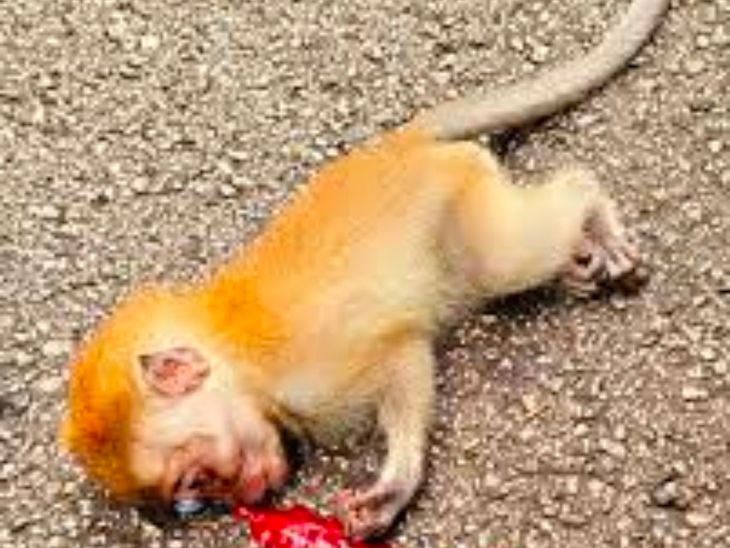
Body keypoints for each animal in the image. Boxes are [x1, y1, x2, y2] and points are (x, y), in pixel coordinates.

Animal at [59, 0, 668, 540]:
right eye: (194, 501)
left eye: (196, 479)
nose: (245, 498)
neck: (242, 360)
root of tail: (401, 145)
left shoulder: (316, 371)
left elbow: (402, 354)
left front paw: (397, 481)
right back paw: (577, 260)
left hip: (464, 207)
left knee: (518, 248)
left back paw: (590, 208)